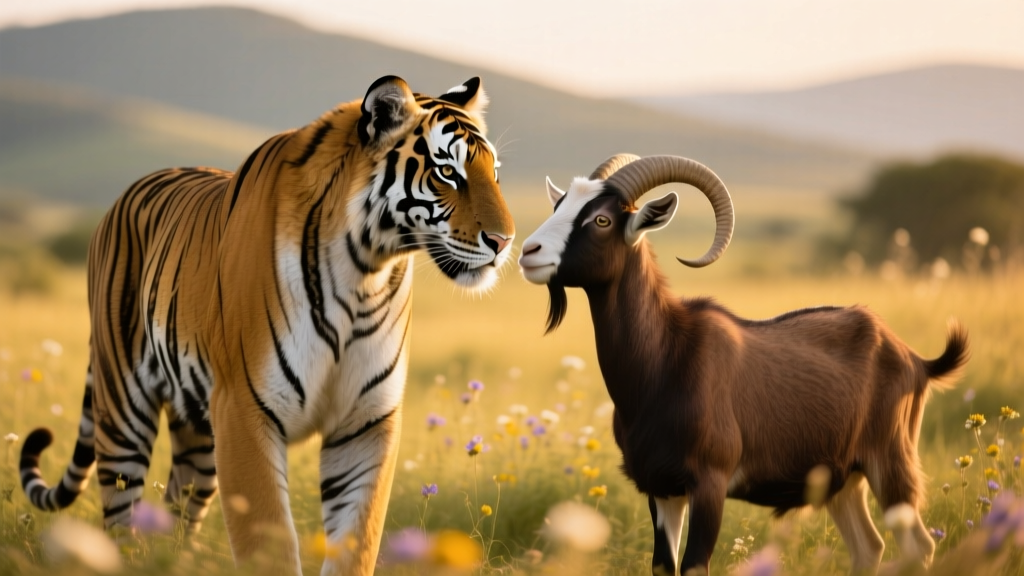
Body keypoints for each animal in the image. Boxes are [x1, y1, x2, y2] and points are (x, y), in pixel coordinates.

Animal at [19, 76, 515, 575]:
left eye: (494, 172)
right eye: (447, 172)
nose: (504, 241)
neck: (365, 271)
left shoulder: (366, 421)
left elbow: (357, 542)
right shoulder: (244, 407)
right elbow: (269, 541)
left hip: (197, 435)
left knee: (177, 512)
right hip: (123, 407)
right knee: (122, 515)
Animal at [518, 154, 969, 576]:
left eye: (602, 219)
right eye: (559, 203)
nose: (528, 252)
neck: (664, 360)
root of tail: (914, 359)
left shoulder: (709, 484)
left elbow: (694, 564)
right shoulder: (661, 489)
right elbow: (664, 564)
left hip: (890, 466)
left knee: (918, 546)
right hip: (844, 481)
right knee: (868, 547)